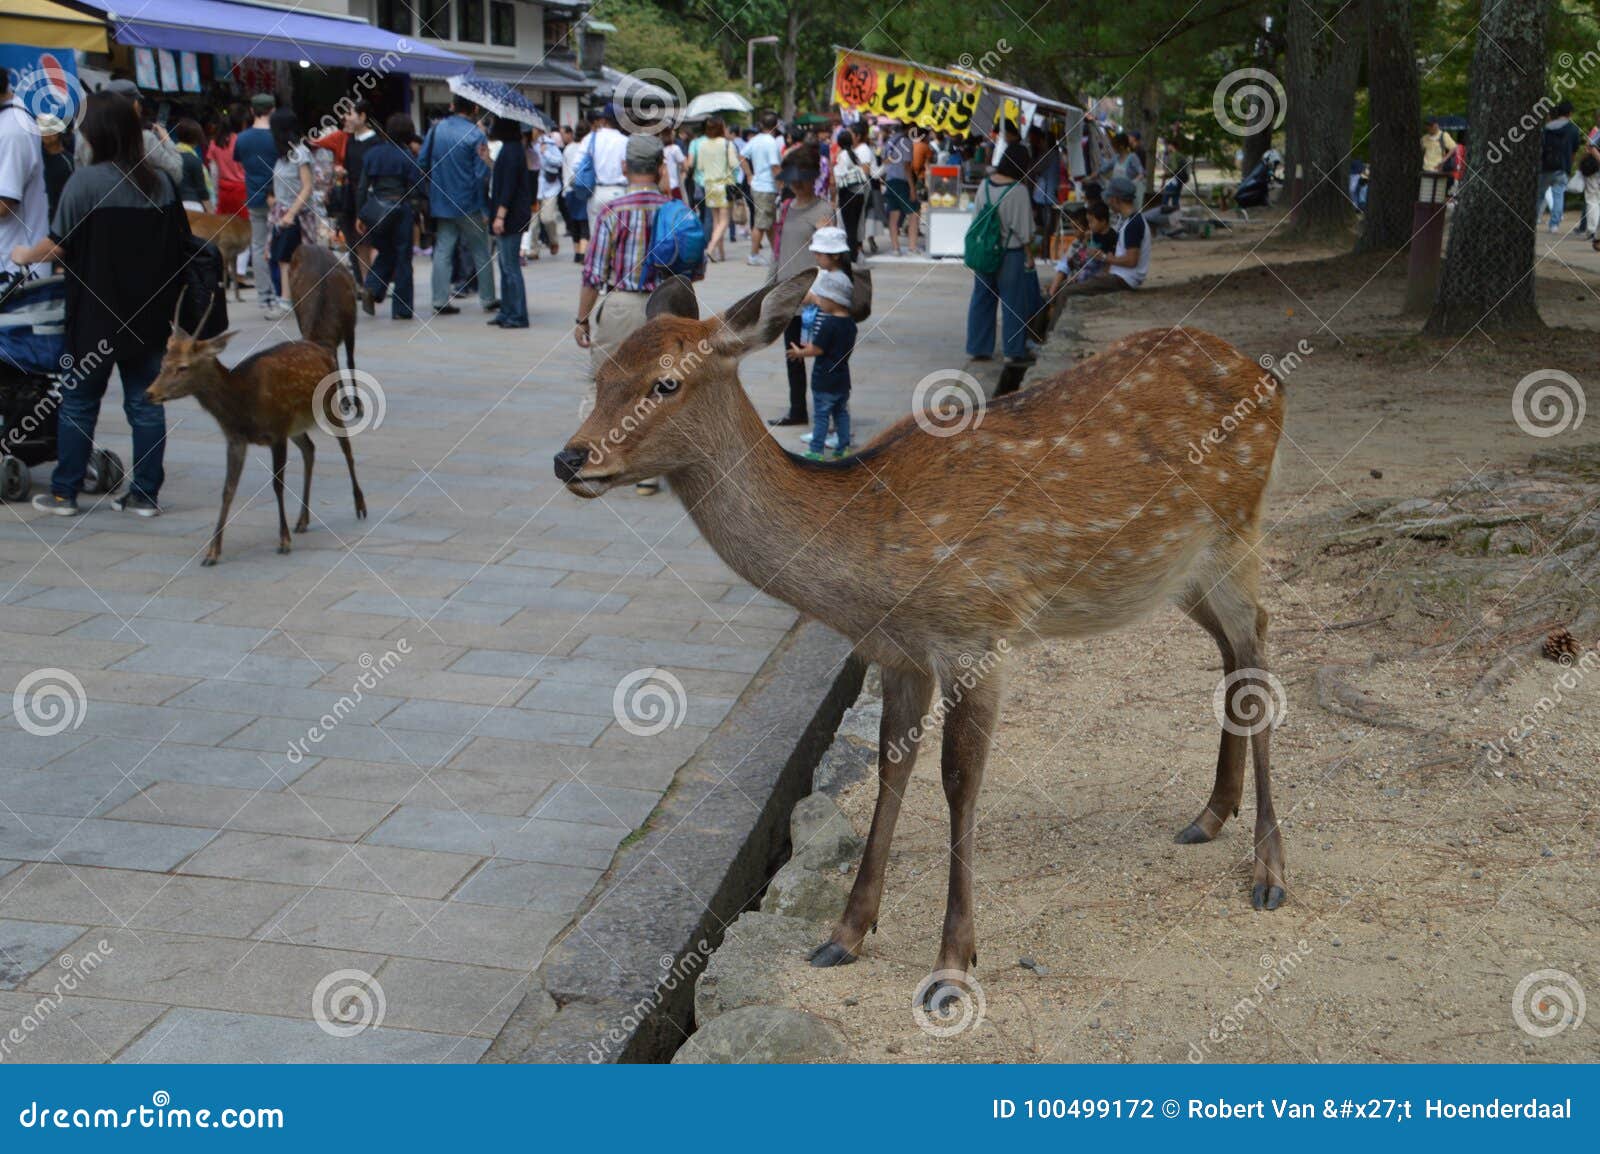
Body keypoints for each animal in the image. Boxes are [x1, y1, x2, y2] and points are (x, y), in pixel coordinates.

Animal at [146, 291, 367, 566]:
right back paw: (302, 520)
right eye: (164, 361)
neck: (244, 404)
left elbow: (277, 485)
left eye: (183, 366)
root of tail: (323, 348)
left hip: (329, 404)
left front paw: (283, 541)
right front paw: (212, 552)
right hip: (295, 426)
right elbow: (227, 490)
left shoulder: (276, 432)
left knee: (346, 447)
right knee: (310, 448)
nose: (150, 393)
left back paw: (359, 505)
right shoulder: (236, 439)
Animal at [555, 270, 1288, 1009]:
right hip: (1178, 573)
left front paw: (952, 965)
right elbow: (891, 766)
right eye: (598, 373)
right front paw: (845, 934)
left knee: (1259, 647)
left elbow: (959, 781)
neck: (871, 566)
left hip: (1238, 526)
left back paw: (1269, 869)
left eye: (666, 383)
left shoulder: (976, 630)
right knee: (1233, 654)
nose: (569, 458)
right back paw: (1209, 814)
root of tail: (1268, 376)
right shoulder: (897, 652)